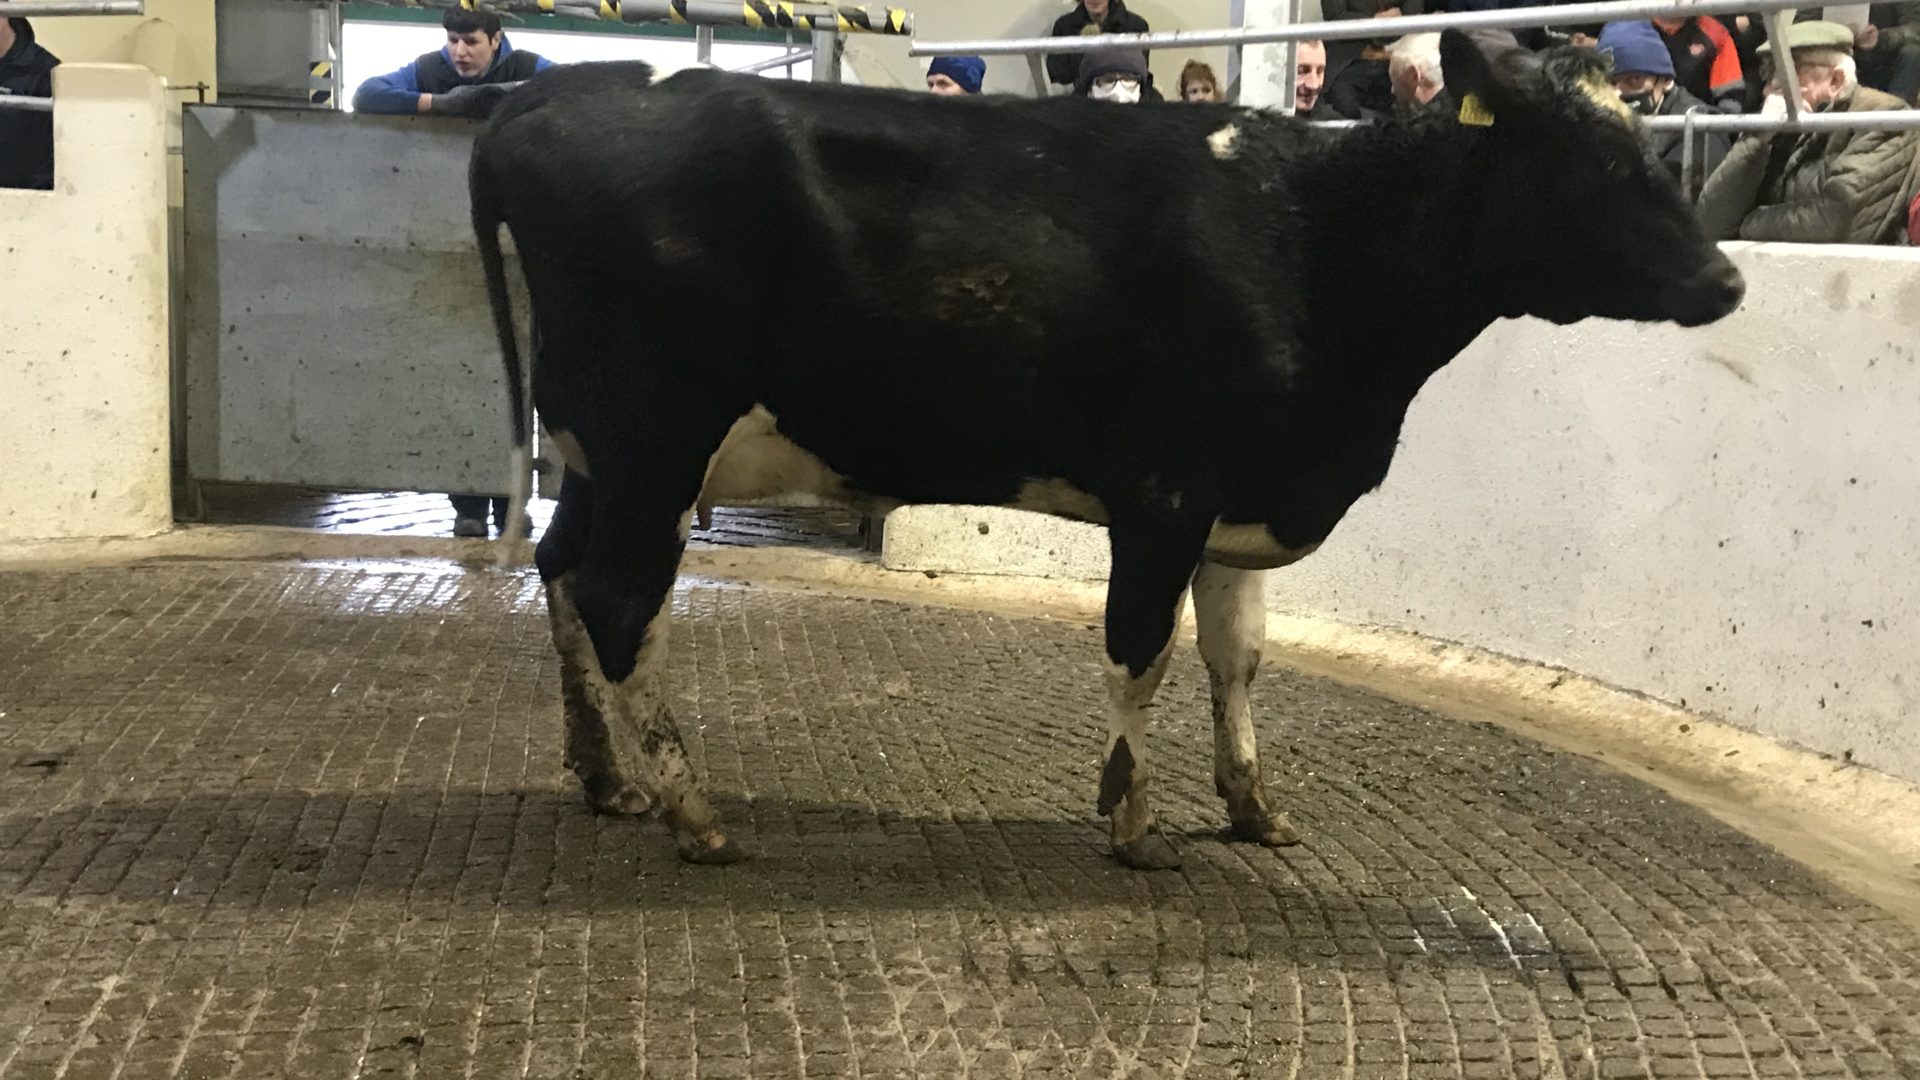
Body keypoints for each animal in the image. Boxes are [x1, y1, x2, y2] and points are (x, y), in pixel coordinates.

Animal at [468, 31, 1745, 869]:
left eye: (1651, 139)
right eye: (1591, 159)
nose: (1727, 281)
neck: (1315, 235)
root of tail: (550, 92)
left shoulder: (1238, 502)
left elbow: (1239, 659)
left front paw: (1252, 808)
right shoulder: (1166, 491)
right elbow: (1144, 652)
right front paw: (1131, 820)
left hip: (597, 452)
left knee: (564, 575)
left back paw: (609, 779)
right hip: (654, 439)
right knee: (622, 599)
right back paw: (691, 810)